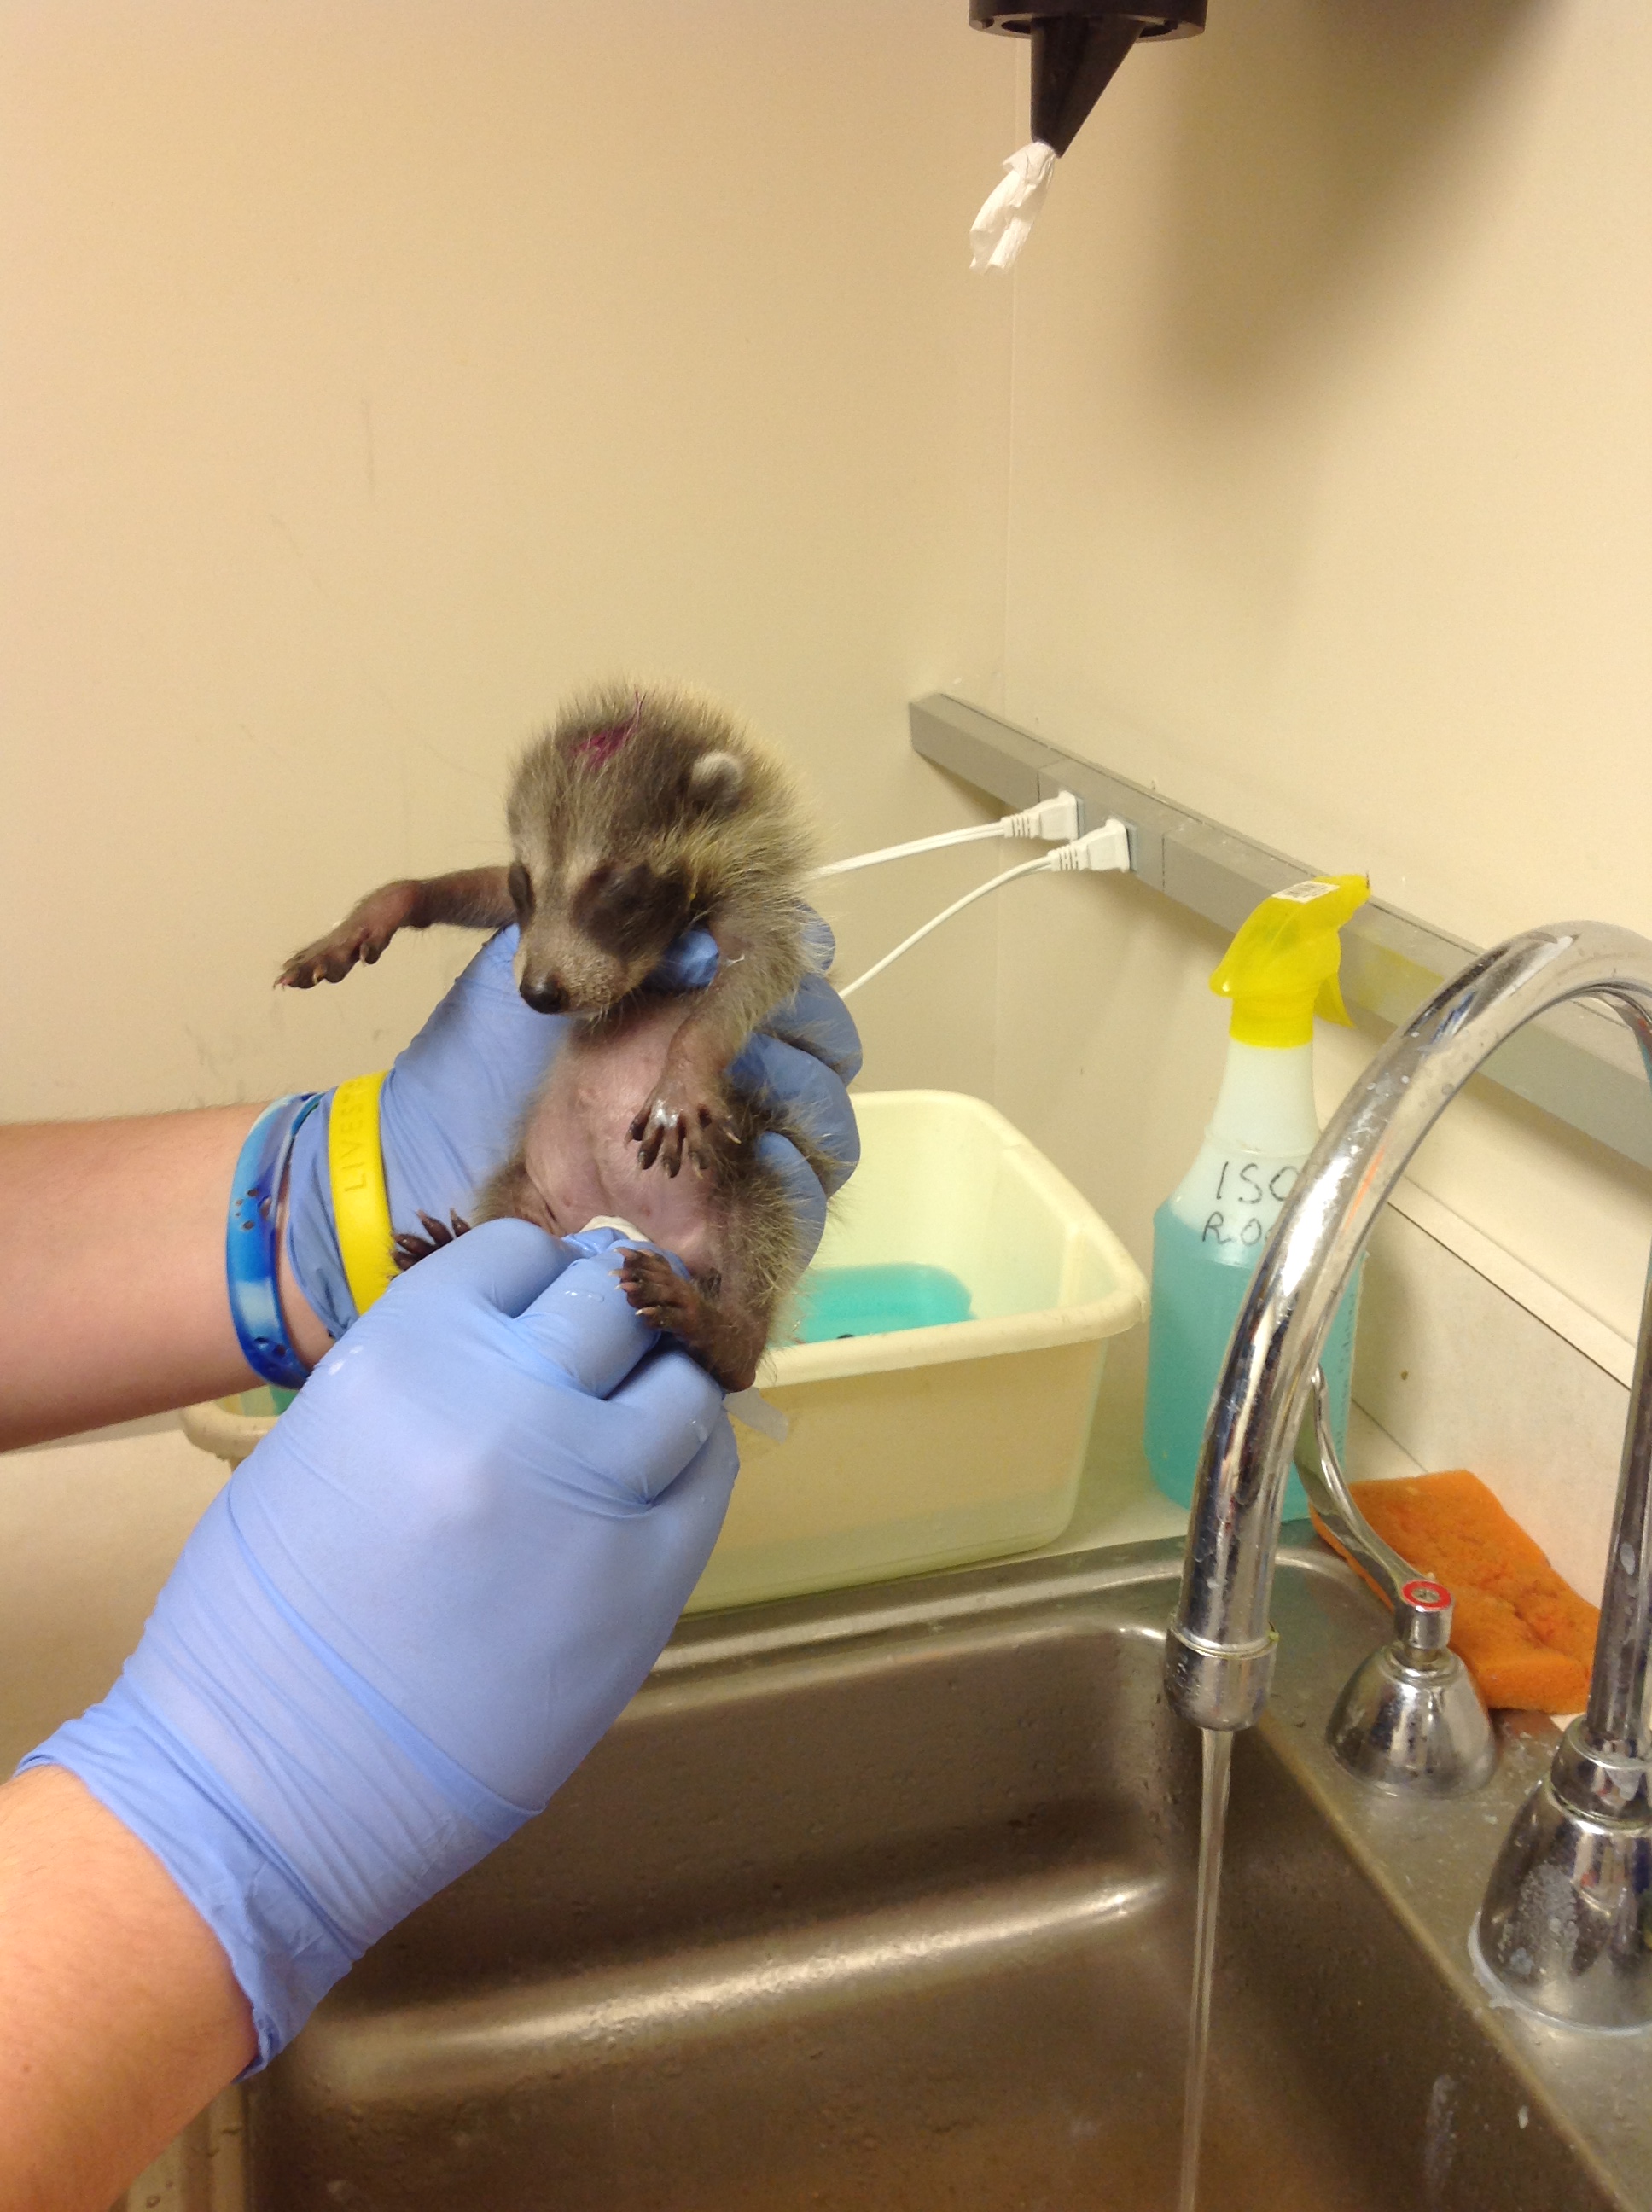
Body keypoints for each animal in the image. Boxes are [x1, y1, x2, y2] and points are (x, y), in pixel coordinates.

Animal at [280, 683, 839, 1391]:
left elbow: (754, 972)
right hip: (531, 1190)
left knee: (762, 1211)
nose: (539, 994)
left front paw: (686, 1060)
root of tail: (639, 1231)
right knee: (512, 1213)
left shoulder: (757, 889)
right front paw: (391, 901)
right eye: (524, 883)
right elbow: (474, 891)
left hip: (746, 1162)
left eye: (618, 890)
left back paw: (730, 1332)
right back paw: (453, 1250)